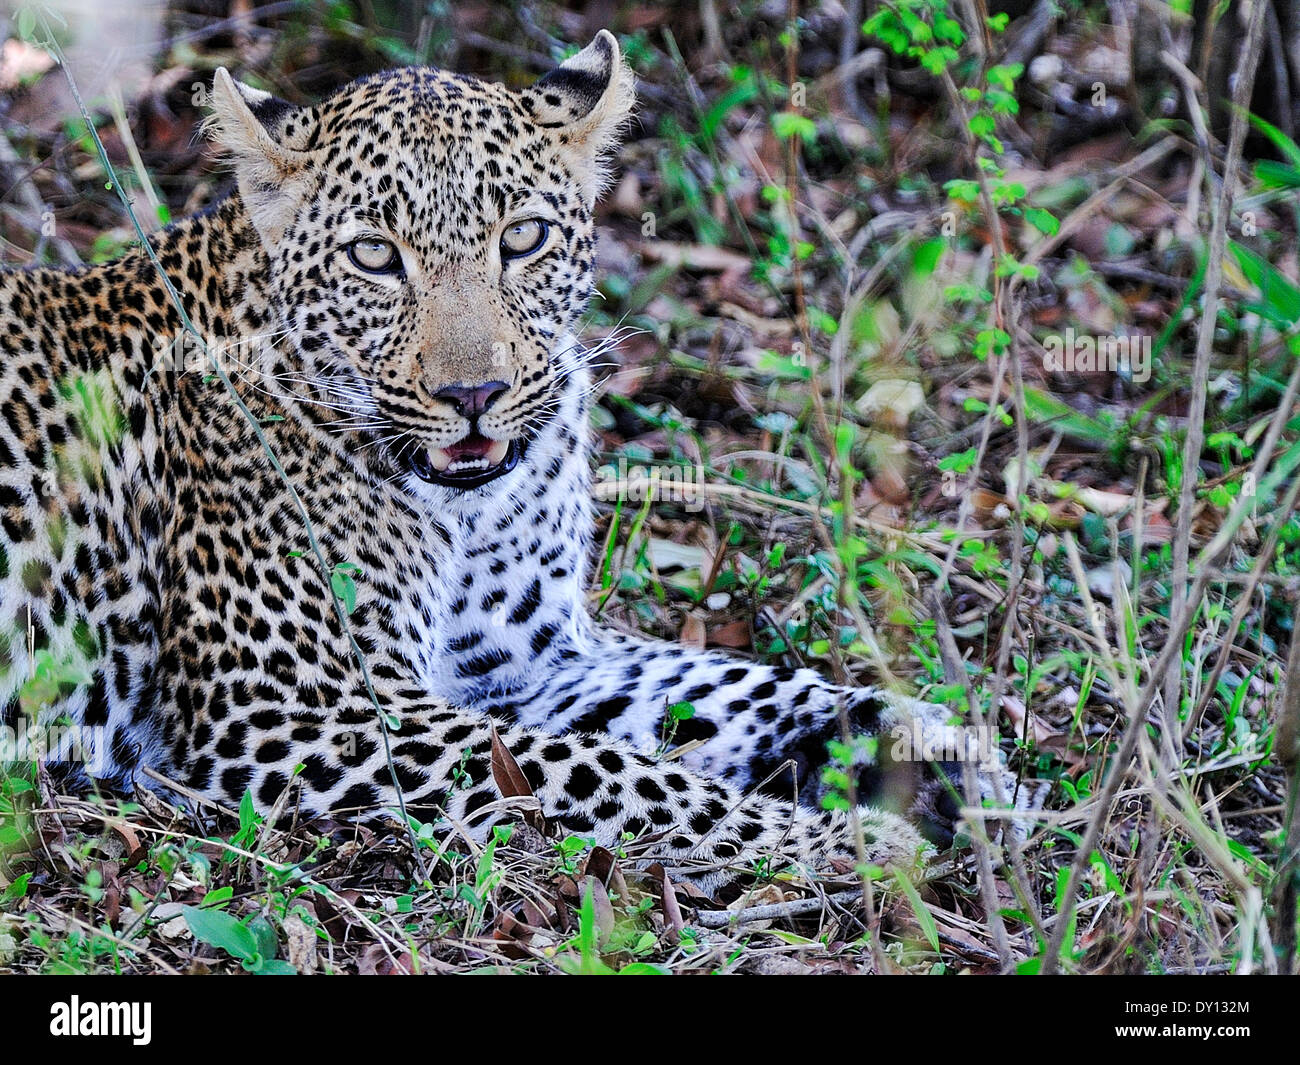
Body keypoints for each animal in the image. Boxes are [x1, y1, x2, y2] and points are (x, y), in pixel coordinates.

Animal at [0, 32, 1014, 891]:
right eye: (376, 256)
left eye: (520, 238)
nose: (474, 394)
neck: (471, 512)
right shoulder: (296, 708)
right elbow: (610, 773)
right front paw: (841, 841)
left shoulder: (529, 663)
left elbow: (716, 681)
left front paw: (933, 743)